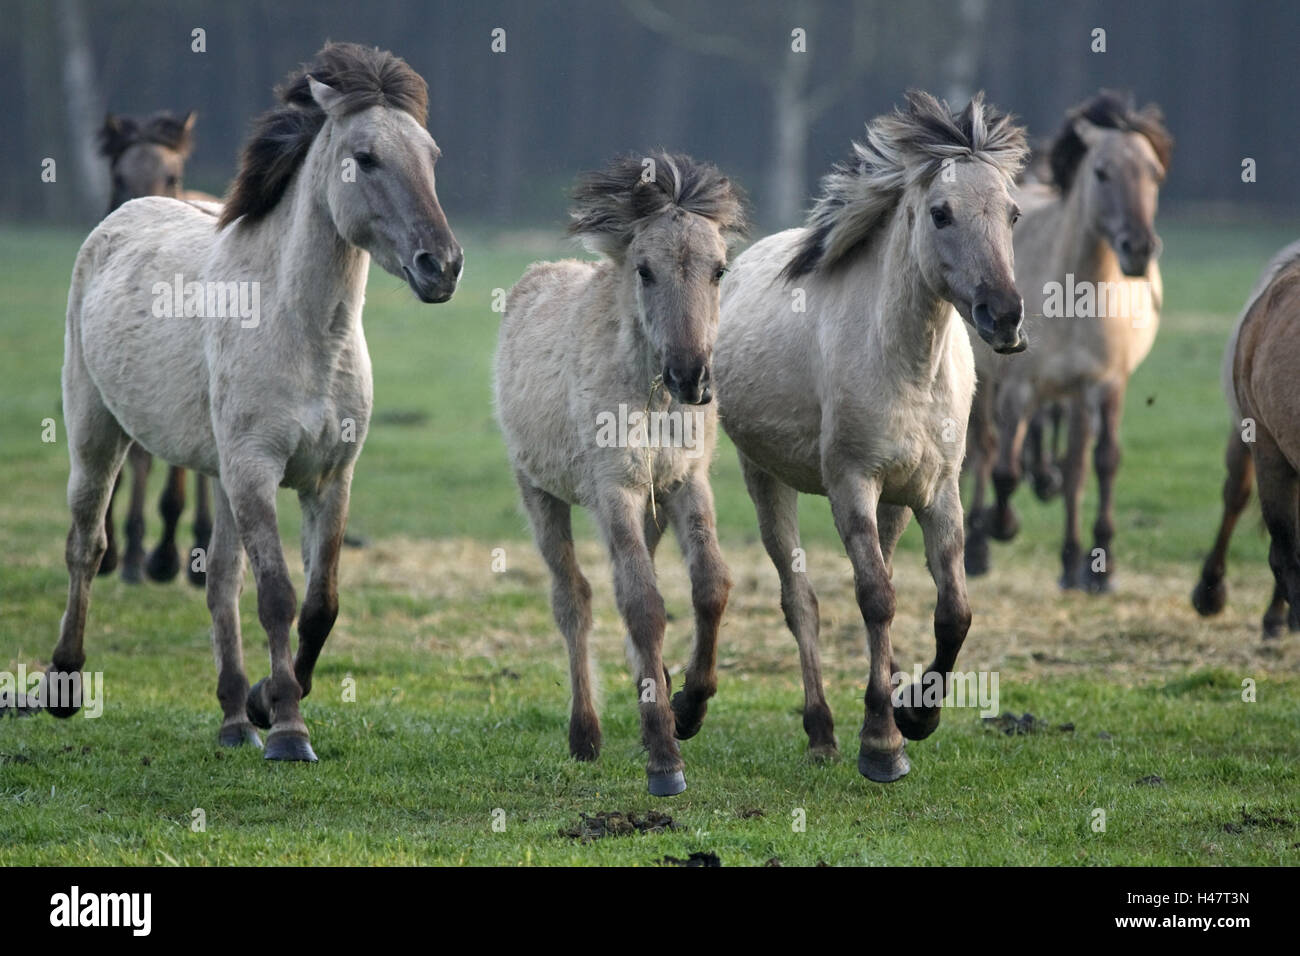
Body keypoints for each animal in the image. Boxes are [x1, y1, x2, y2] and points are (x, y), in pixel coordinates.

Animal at [495, 152, 746, 796]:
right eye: (644, 271)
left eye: (719, 270)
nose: (692, 377)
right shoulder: (616, 492)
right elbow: (641, 604)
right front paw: (664, 758)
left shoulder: (684, 484)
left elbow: (710, 584)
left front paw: (689, 706)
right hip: (539, 492)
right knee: (573, 600)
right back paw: (585, 734)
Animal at [714, 91, 1027, 782]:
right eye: (940, 213)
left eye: (1014, 213)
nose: (1004, 316)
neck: (905, 363)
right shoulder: (851, 484)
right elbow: (877, 599)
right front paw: (884, 745)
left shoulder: (938, 491)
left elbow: (954, 610)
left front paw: (915, 714)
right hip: (765, 479)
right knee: (801, 602)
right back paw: (823, 732)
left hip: (896, 502)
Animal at [963, 91, 1173, 590]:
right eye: (1101, 172)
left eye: (1154, 174)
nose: (1138, 249)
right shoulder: (1019, 385)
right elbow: (1004, 469)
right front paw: (1002, 526)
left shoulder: (1103, 384)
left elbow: (1102, 462)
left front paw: (1102, 564)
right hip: (986, 376)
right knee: (984, 448)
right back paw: (977, 546)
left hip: (1075, 395)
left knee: (1075, 465)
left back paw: (1071, 559)